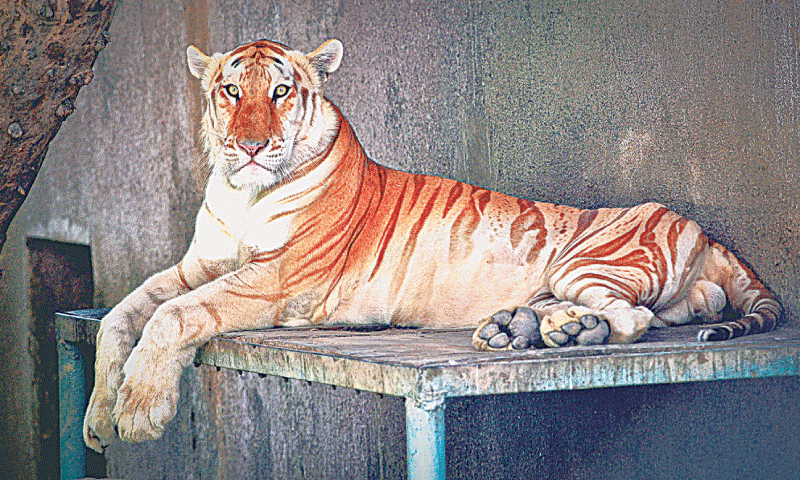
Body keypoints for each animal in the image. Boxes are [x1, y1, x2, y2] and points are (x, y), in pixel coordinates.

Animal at [83, 38, 781, 451]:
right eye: (231, 91)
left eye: (280, 92)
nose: (252, 146)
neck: (244, 194)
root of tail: (710, 235)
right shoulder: (194, 265)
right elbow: (122, 315)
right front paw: (96, 419)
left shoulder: (278, 277)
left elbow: (174, 317)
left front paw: (138, 413)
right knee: (646, 313)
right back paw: (523, 329)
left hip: (589, 261)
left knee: (633, 321)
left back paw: (557, 333)